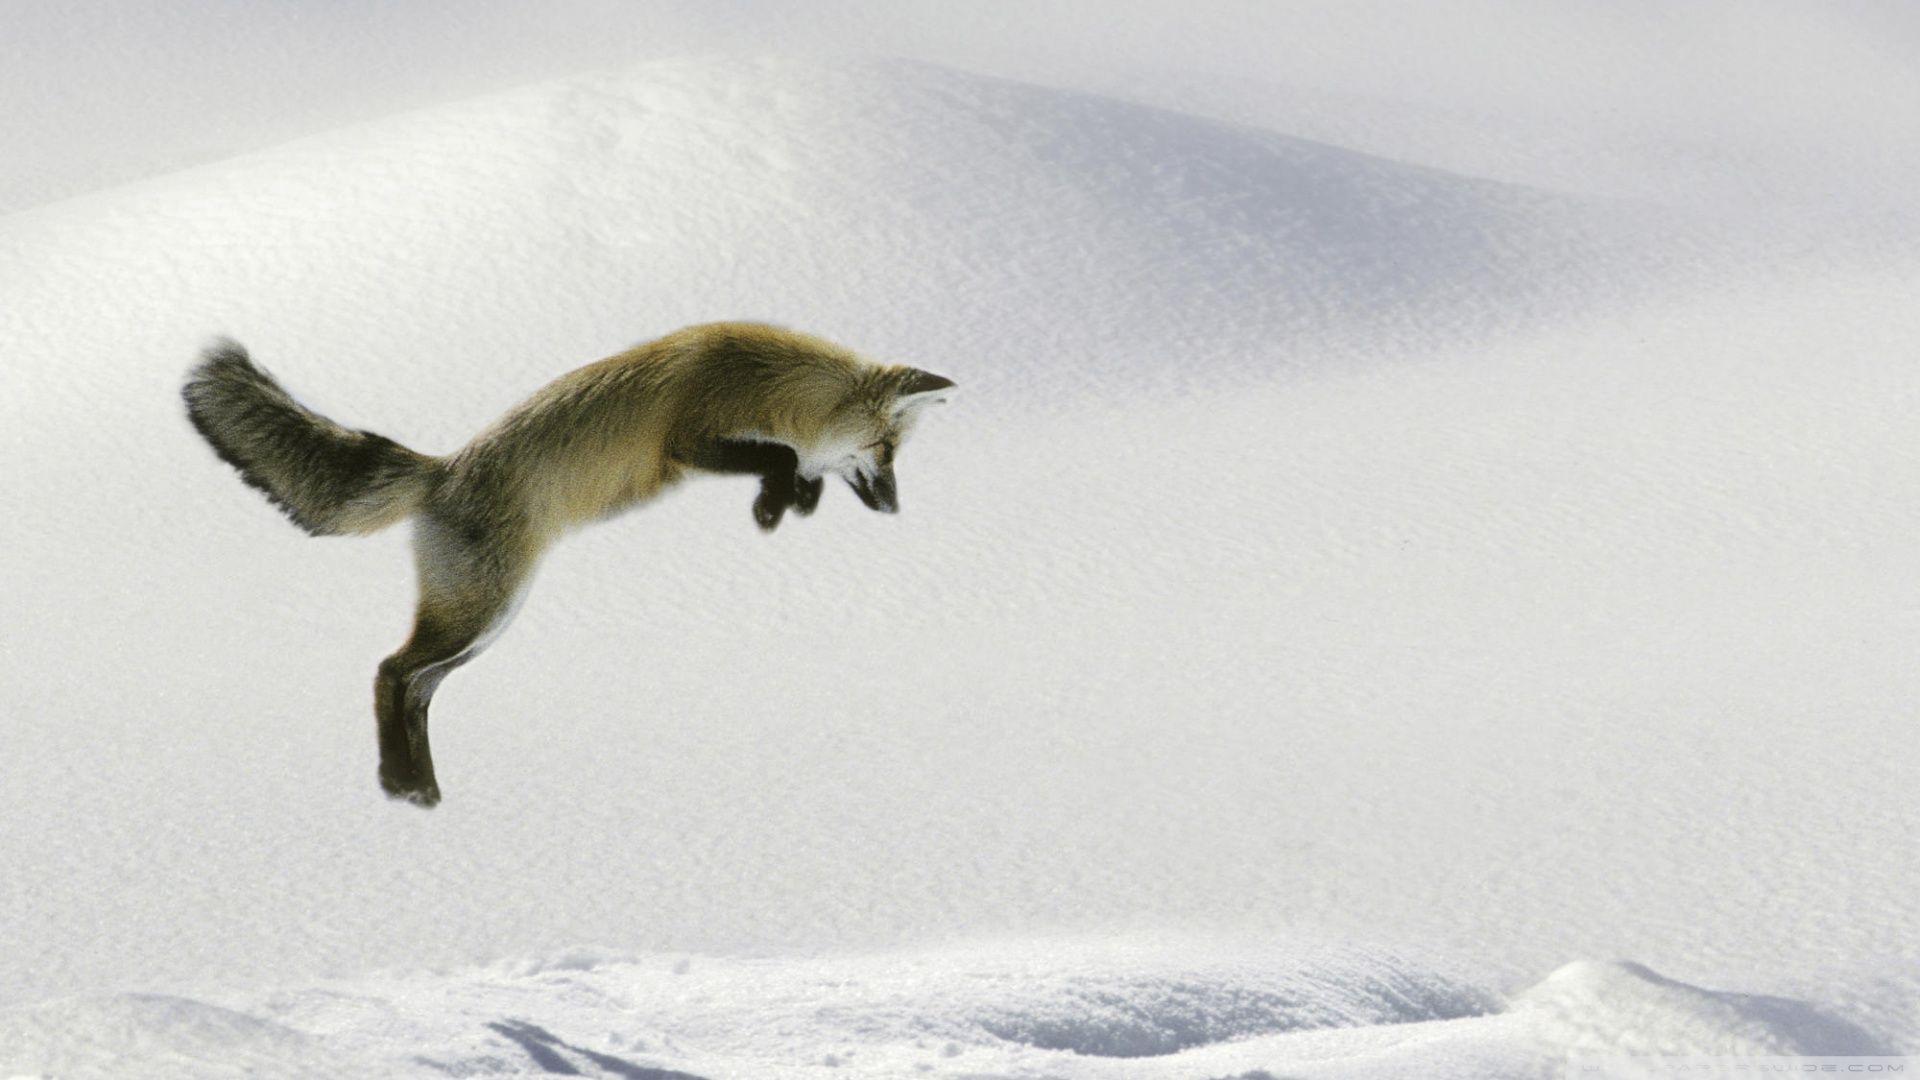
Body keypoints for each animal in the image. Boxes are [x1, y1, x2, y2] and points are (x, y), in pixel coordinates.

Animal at [182, 322, 954, 808]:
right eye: (887, 451)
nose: (893, 510)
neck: (769, 381)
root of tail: (441, 471)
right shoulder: (685, 438)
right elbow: (782, 455)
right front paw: (776, 503)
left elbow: (795, 467)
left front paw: (791, 503)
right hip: (481, 610)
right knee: (390, 671)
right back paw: (401, 783)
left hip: (488, 621)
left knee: (418, 688)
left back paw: (420, 790)